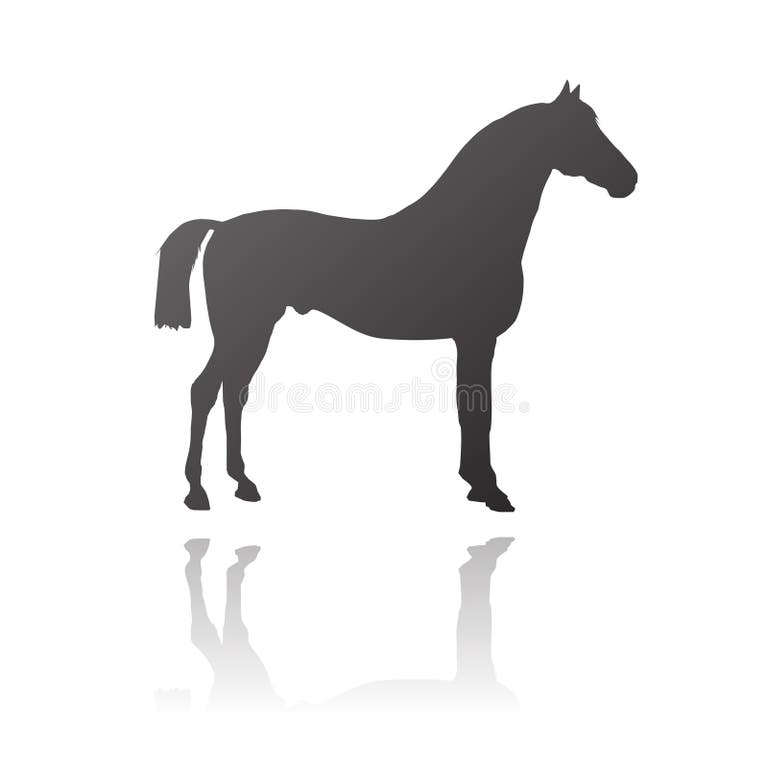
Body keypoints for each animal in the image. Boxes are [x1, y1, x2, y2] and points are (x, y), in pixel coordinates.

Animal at [155, 82, 637, 512]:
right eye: (579, 129)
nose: (629, 179)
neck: (474, 227)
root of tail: (221, 227)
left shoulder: (471, 340)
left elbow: (470, 407)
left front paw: (475, 485)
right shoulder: (478, 337)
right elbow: (477, 410)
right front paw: (491, 491)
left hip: (253, 332)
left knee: (232, 393)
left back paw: (243, 484)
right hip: (242, 331)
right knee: (204, 391)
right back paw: (197, 494)